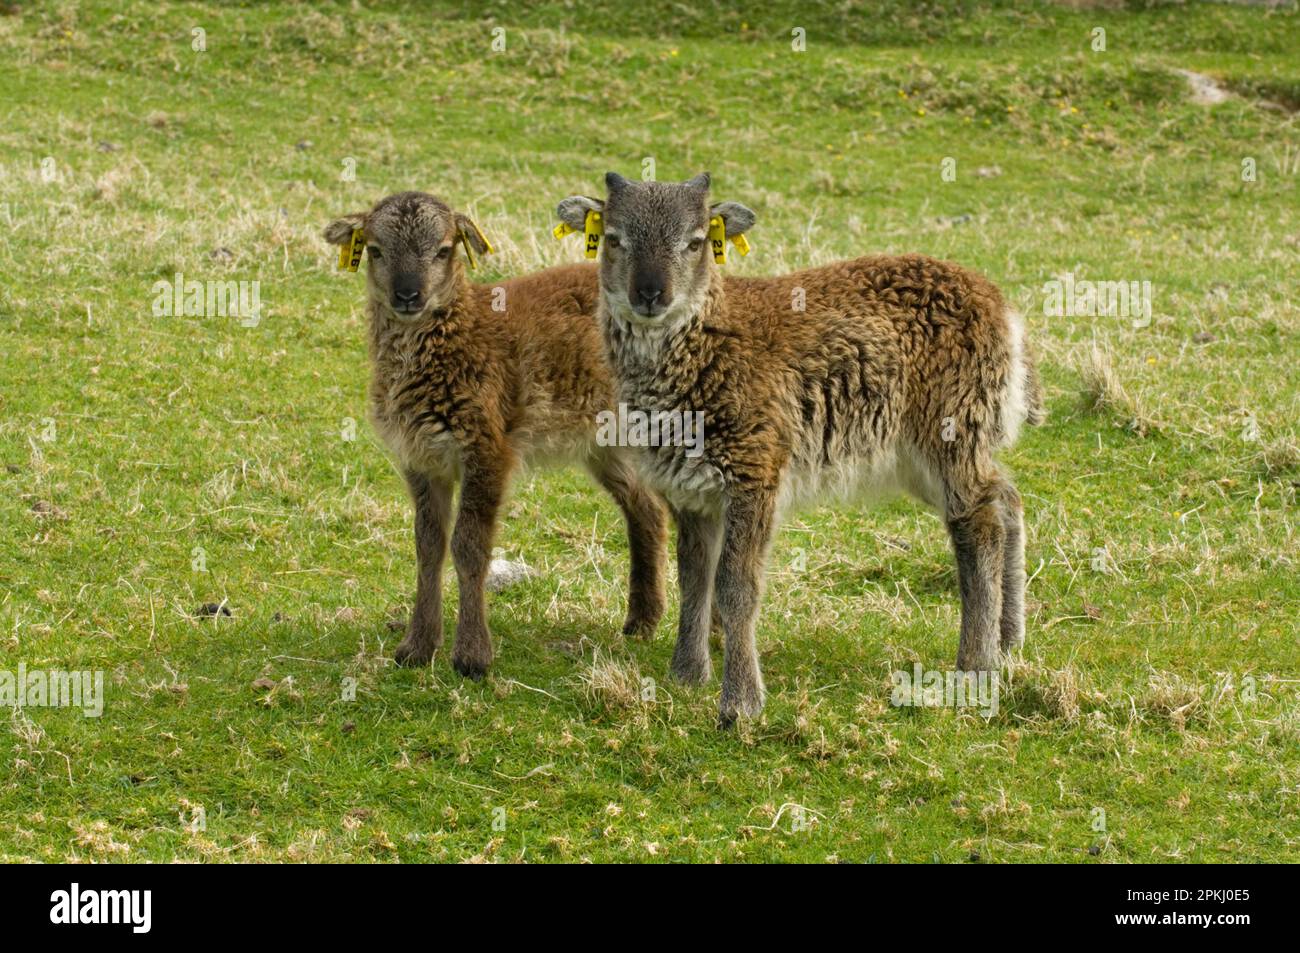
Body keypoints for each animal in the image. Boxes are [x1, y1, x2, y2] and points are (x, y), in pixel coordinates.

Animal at [324, 191, 667, 678]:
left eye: (443, 250)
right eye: (374, 250)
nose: (408, 294)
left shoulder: (487, 446)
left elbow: (469, 545)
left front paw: (472, 657)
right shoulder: (420, 456)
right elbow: (428, 545)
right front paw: (416, 648)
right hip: (609, 444)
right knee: (647, 510)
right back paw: (641, 621)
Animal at [555, 172, 1045, 726]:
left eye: (696, 241)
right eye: (614, 238)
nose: (650, 294)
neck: (707, 348)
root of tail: (1002, 310)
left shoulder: (756, 470)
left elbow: (736, 586)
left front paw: (740, 702)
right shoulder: (690, 486)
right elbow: (693, 577)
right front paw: (687, 673)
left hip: (952, 428)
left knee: (977, 524)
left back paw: (975, 667)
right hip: (918, 453)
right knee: (1004, 496)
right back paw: (1008, 640)